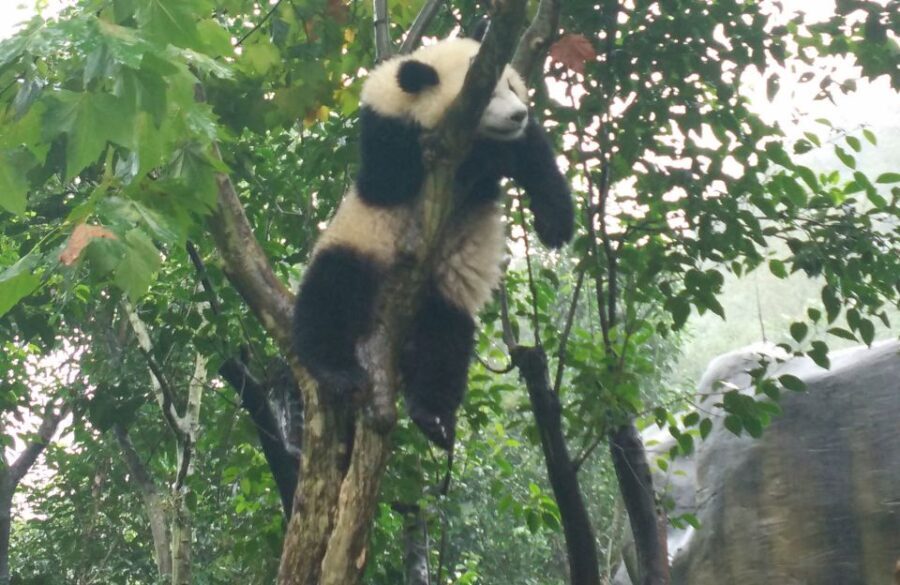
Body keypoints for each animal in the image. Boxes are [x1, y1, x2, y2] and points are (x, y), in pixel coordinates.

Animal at [293, 37, 574, 449]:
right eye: (487, 95)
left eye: (511, 85)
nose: (519, 115)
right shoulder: (386, 135)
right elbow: (394, 176)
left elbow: (536, 162)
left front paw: (555, 226)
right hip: (360, 240)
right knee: (332, 289)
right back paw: (338, 372)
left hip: (444, 285)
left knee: (444, 337)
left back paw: (434, 418)